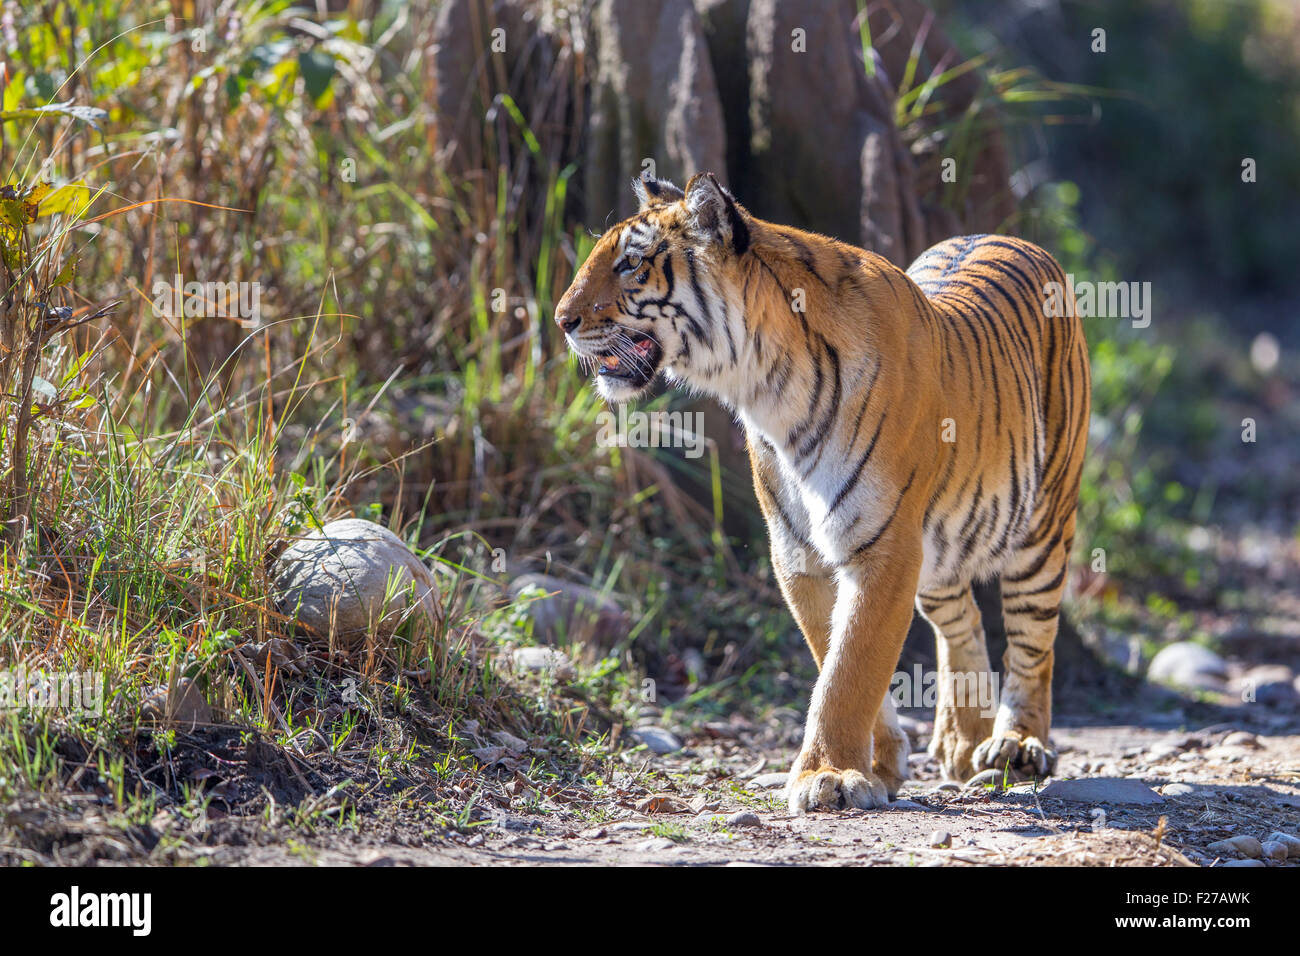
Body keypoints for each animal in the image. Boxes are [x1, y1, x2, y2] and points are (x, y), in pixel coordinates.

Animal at [555, 171, 1090, 812]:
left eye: (632, 264)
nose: (560, 320)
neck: (766, 388)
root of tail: (1011, 236)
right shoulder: (799, 553)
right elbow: (833, 655)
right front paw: (878, 763)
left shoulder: (886, 547)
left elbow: (851, 667)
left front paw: (827, 775)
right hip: (943, 550)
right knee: (959, 621)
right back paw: (962, 741)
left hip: (1043, 527)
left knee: (1034, 640)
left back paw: (1017, 745)